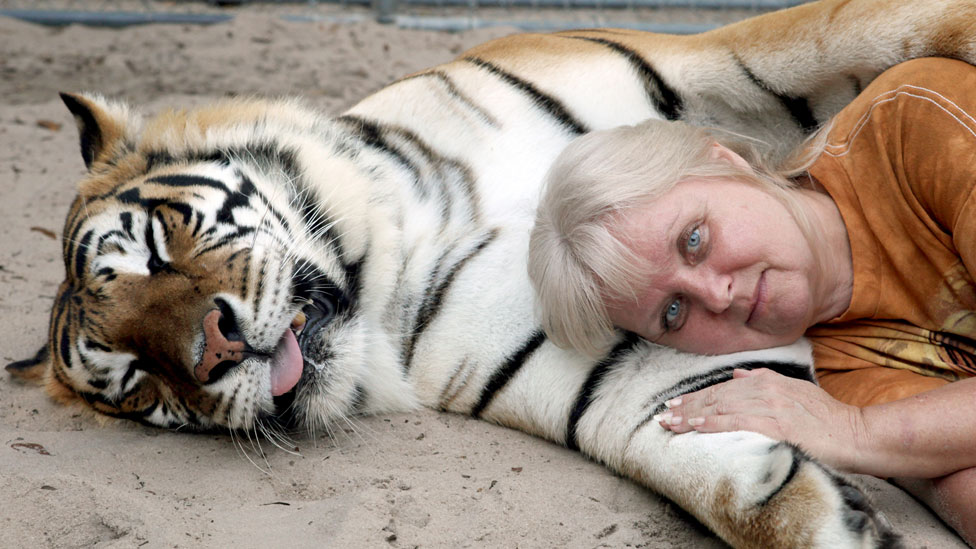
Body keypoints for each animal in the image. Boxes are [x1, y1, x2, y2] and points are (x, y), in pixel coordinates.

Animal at [7, 0, 976, 546]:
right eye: (139, 383)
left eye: (158, 243)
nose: (212, 352)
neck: (400, 247)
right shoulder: (604, 364)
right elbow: (695, 449)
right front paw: (835, 518)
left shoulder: (720, 55)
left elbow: (897, 25)